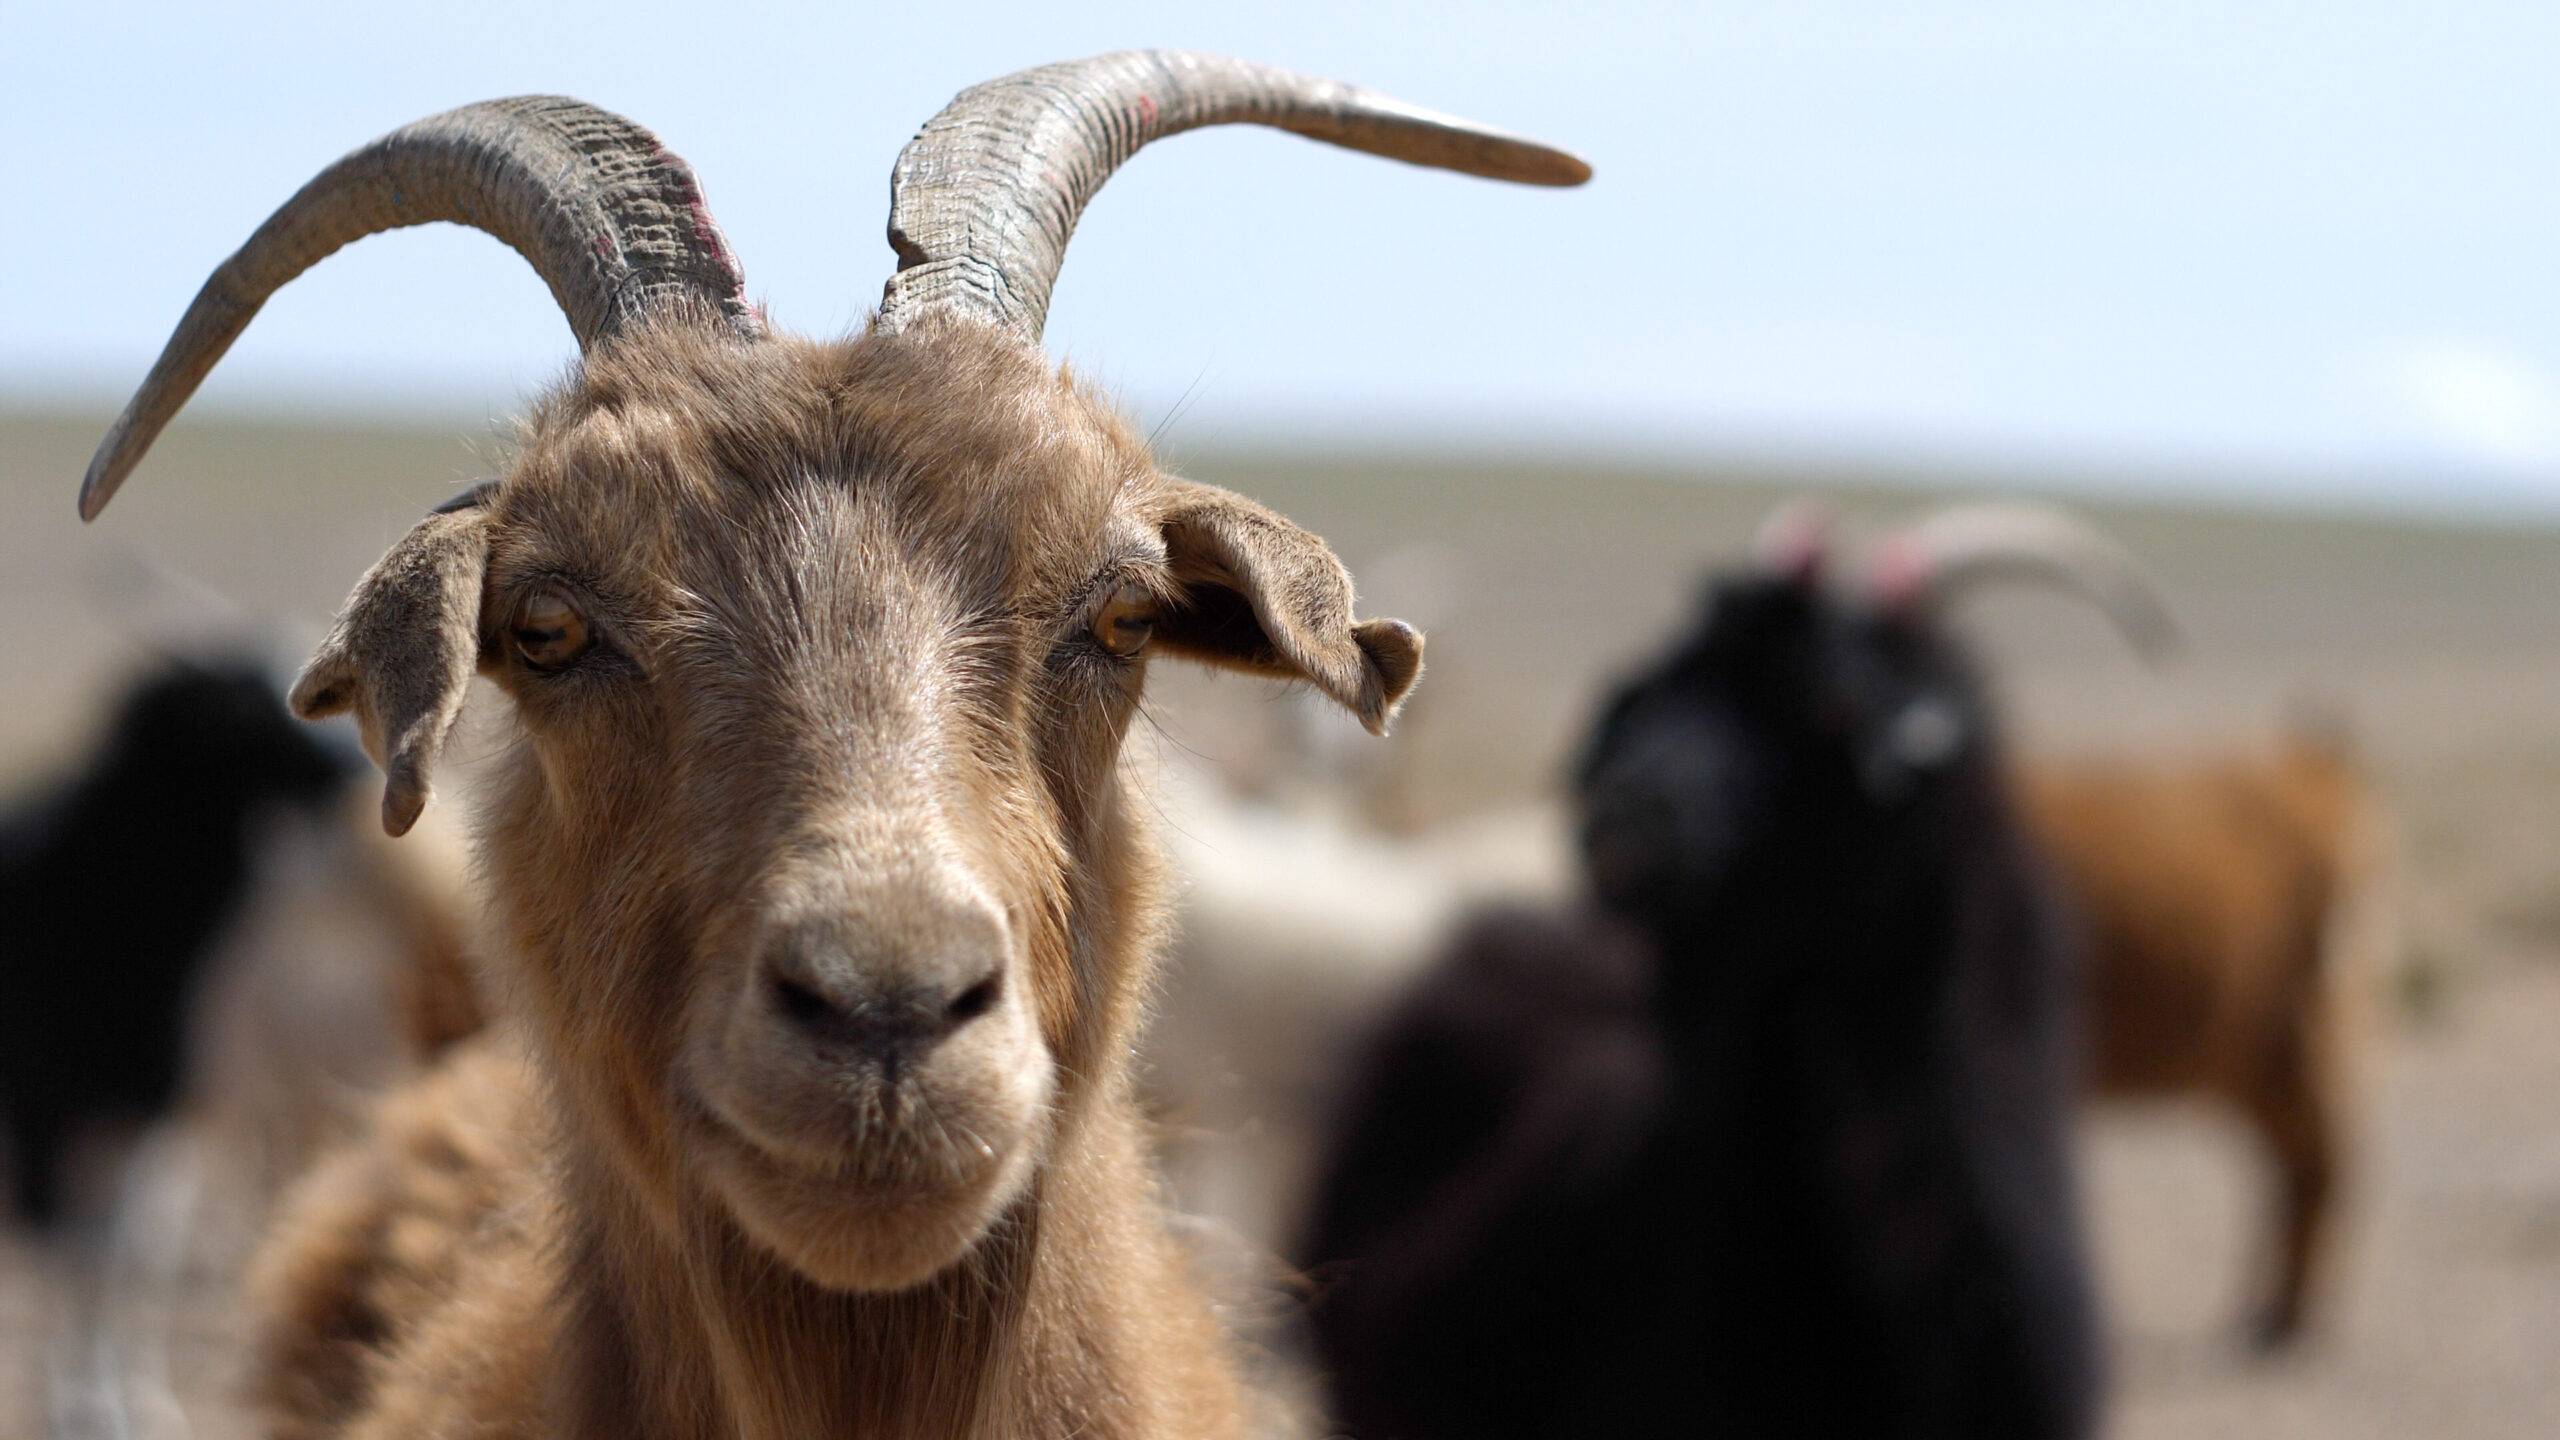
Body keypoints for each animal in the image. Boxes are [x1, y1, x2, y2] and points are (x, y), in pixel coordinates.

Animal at [2022, 710, 2391, 1348]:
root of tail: (2312, 762)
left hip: (2301, 1020)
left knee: (2321, 1160)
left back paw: (2290, 1323)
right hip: (2256, 1049)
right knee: (2289, 1163)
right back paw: (2267, 1312)